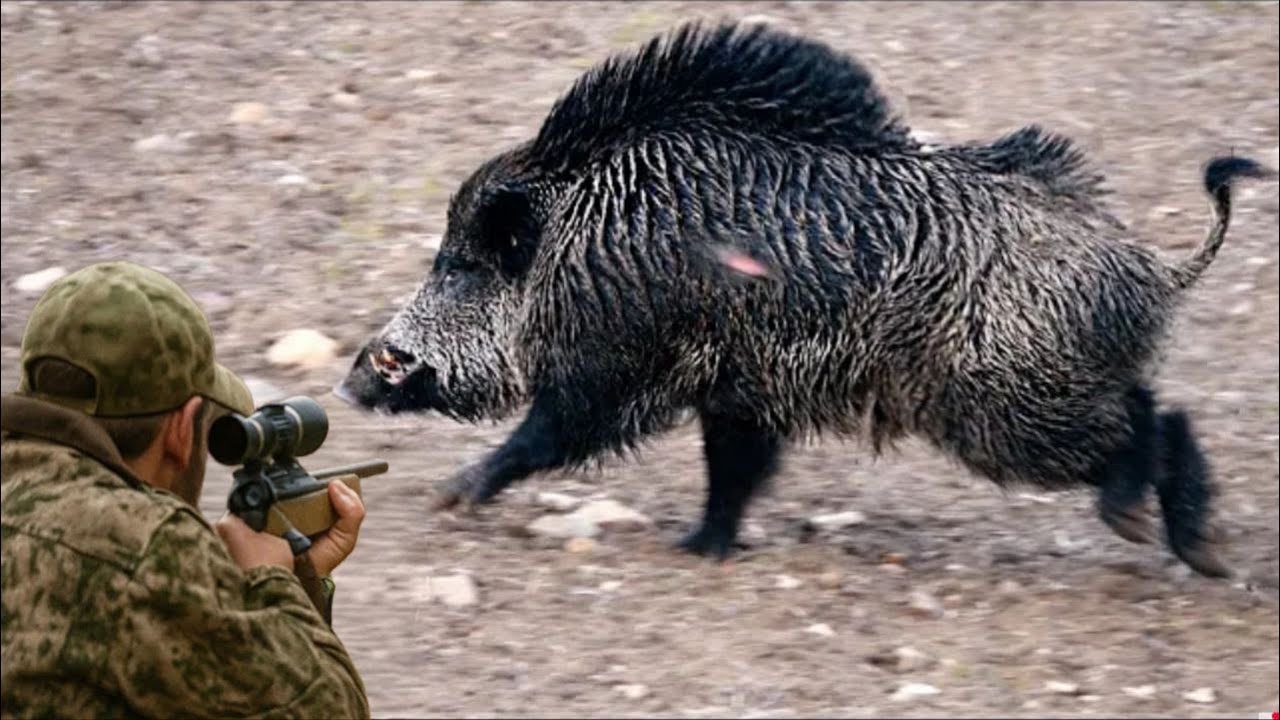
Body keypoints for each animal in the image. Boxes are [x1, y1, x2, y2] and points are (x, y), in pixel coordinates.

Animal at [335, 21, 1274, 577]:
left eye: (460, 266)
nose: (351, 380)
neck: (577, 238)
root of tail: (1149, 267)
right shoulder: (736, 390)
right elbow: (734, 472)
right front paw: (701, 550)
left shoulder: (616, 370)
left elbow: (545, 437)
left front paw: (452, 493)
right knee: (1157, 412)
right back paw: (1200, 552)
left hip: (1008, 410)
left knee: (1149, 420)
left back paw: (1144, 529)